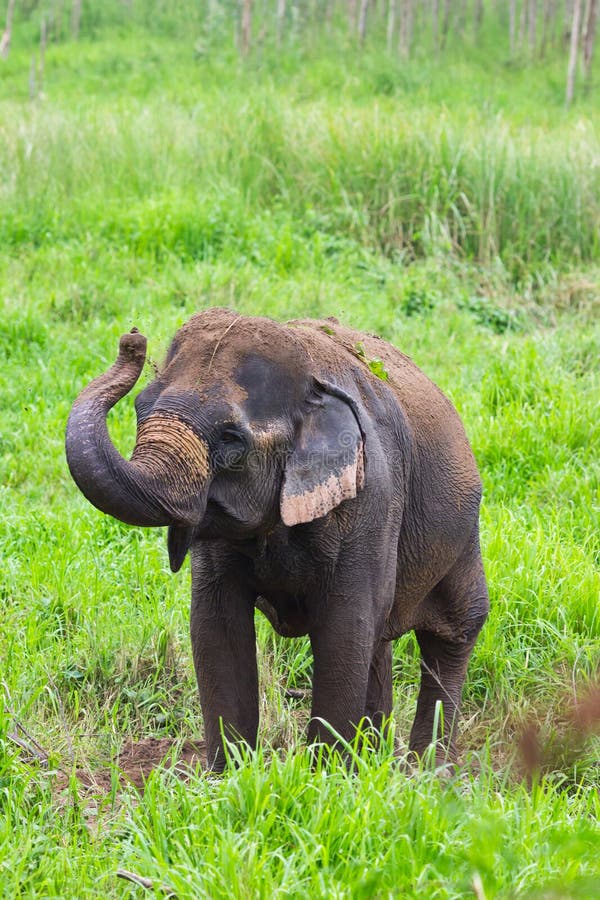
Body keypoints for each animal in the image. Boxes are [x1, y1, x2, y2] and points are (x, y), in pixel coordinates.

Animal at [66, 308, 489, 771]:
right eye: (140, 408)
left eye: (231, 439)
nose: (133, 339)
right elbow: (216, 628)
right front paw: (229, 776)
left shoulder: (372, 498)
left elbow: (344, 628)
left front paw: (325, 777)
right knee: (379, 643)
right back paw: (376, 763)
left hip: (462, 532)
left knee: (454, 632)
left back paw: (429, 772)